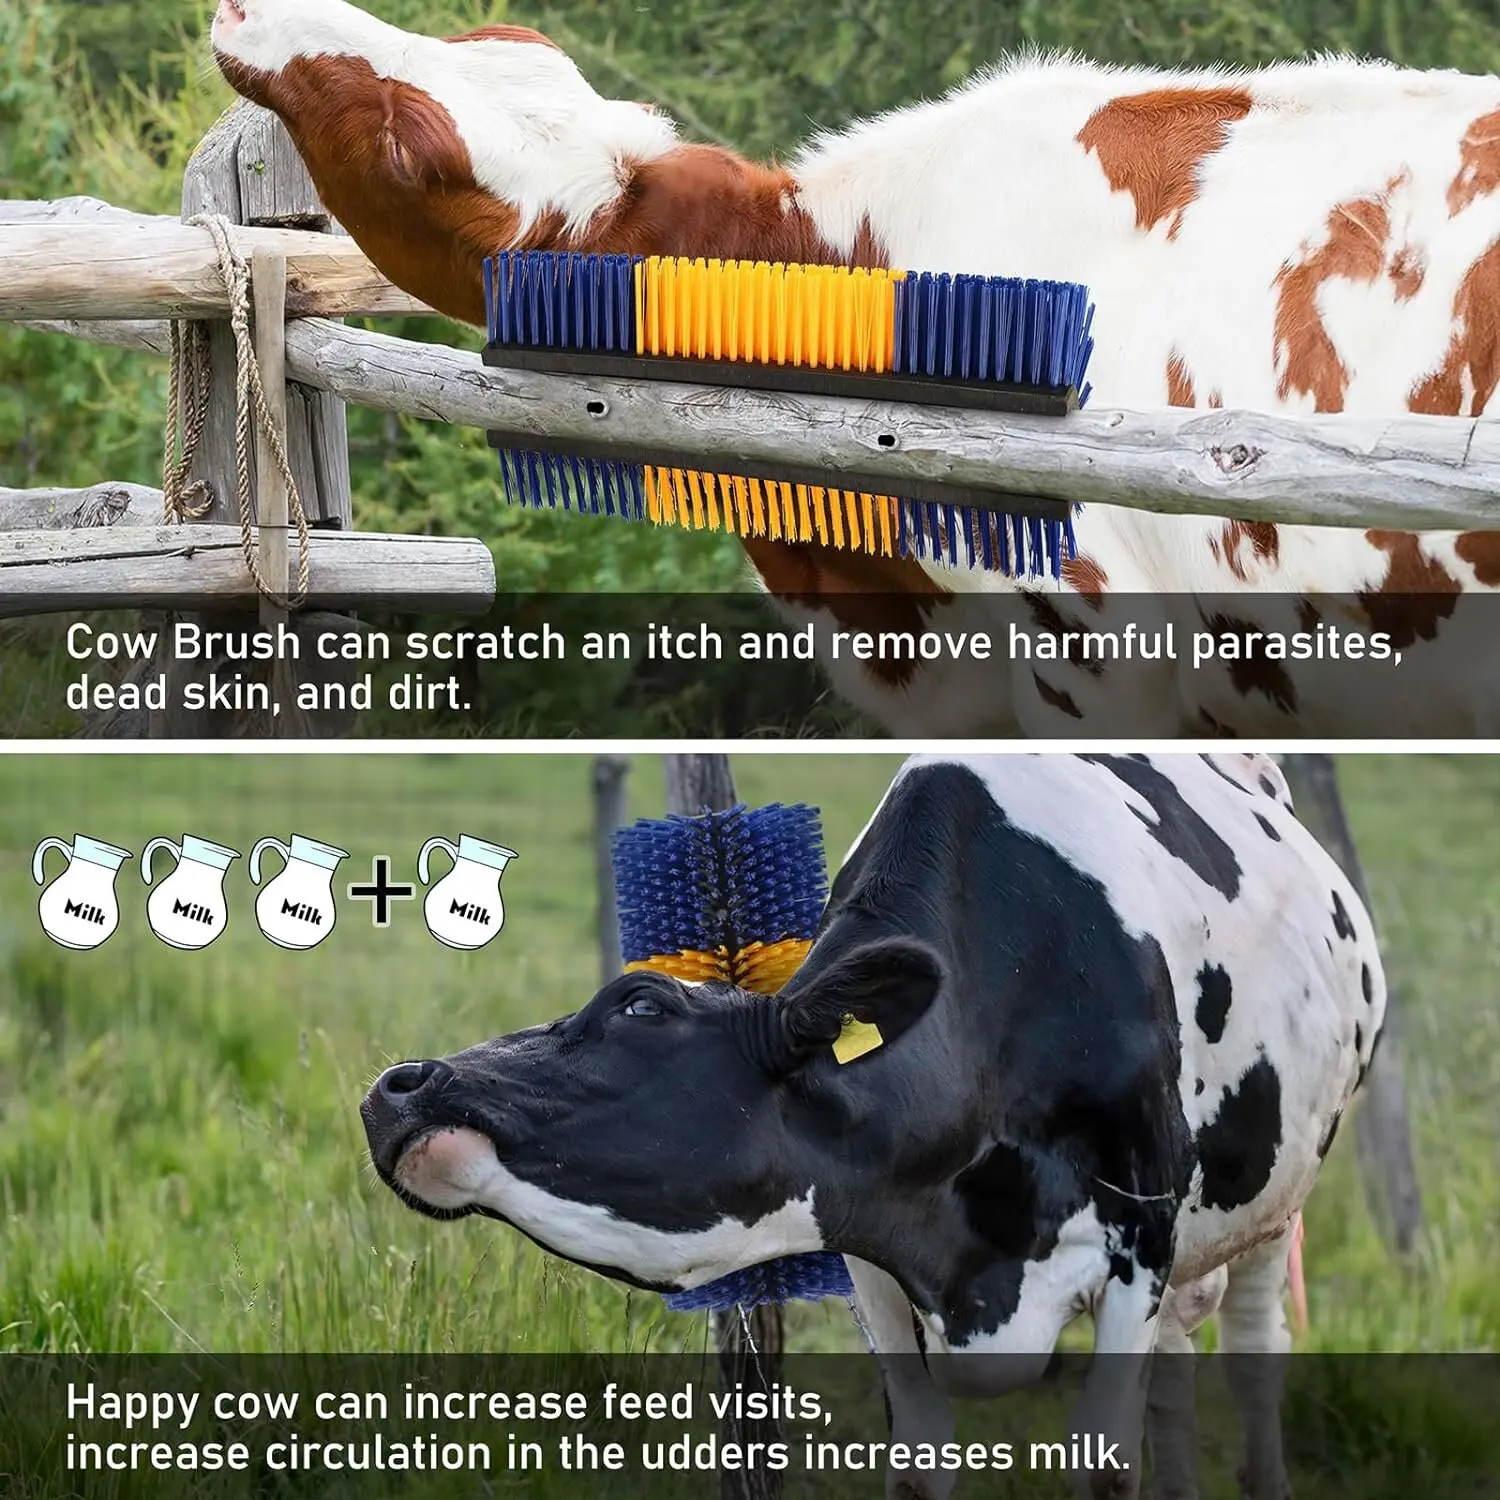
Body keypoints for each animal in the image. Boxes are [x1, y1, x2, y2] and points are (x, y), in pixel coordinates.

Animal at [362, 753, 1386, 1500]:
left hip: (1275, 1200)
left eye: (643, 1005)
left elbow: (1106, 1467)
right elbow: (919, 1468)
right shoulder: (872, 1259)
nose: (398, 1085)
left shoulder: (1142, 1236)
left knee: (1254, 1354)